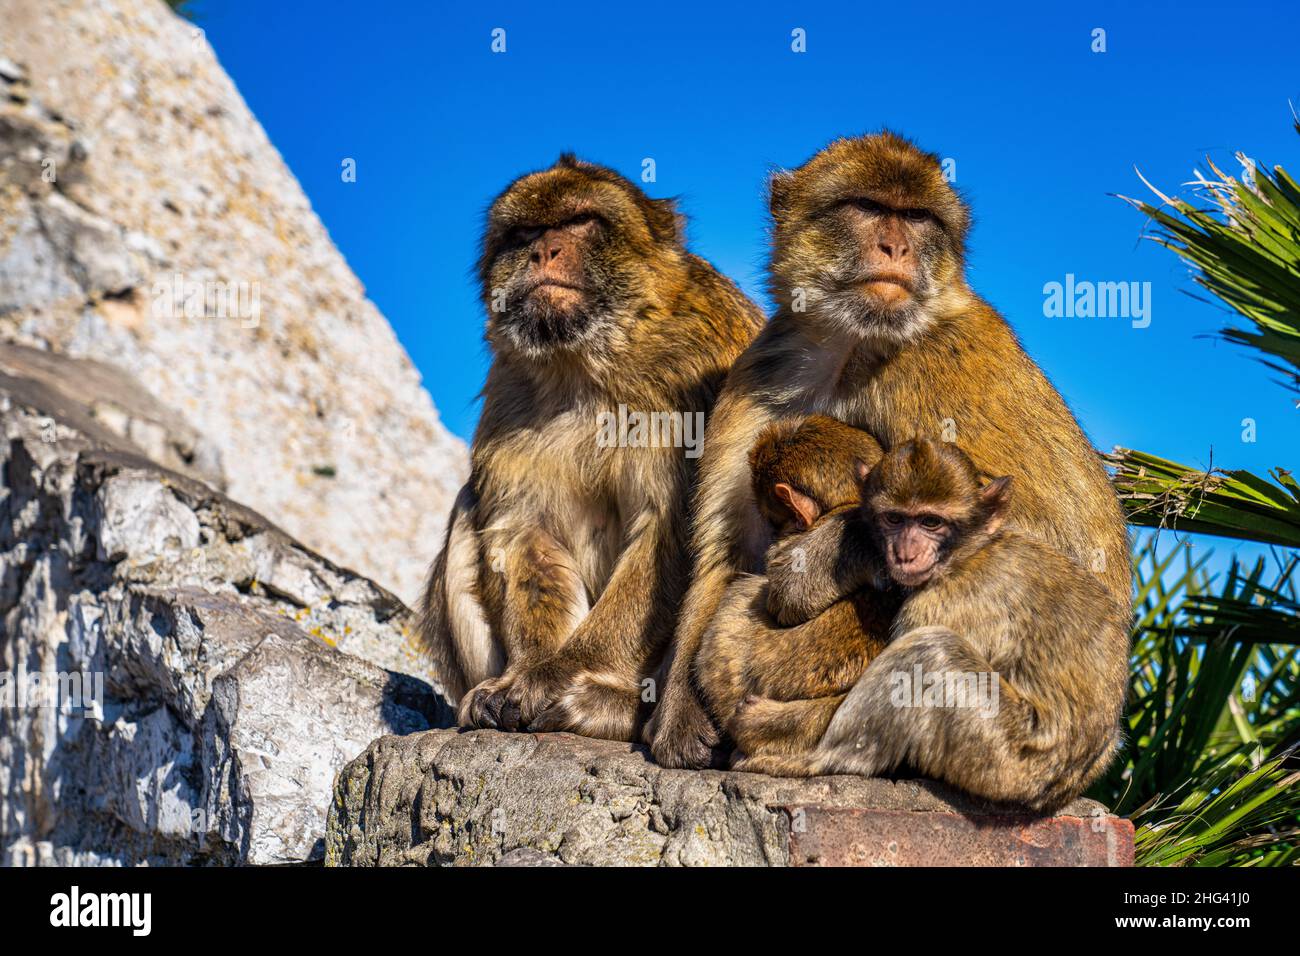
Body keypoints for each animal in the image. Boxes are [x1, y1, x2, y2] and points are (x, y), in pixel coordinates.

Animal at [418, 154, 764, 742]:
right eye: (526, 233)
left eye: (581, 222)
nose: (543, 251)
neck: (587, 361)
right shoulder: (509, 394)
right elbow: (525, 532)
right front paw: (528, 672)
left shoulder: (693, 376)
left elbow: (669, 532)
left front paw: (555, 677)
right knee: (470, 505)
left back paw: (616, 709)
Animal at [729, 439, 1129, 812]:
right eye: (894, 519)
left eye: (931, 522)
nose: (905, 553)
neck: (965, 554)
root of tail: (1056, 793)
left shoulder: (936, 605)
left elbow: (902, 682)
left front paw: (767, 723)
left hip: (1002, 758)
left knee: (931, 653)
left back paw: (821, 760)